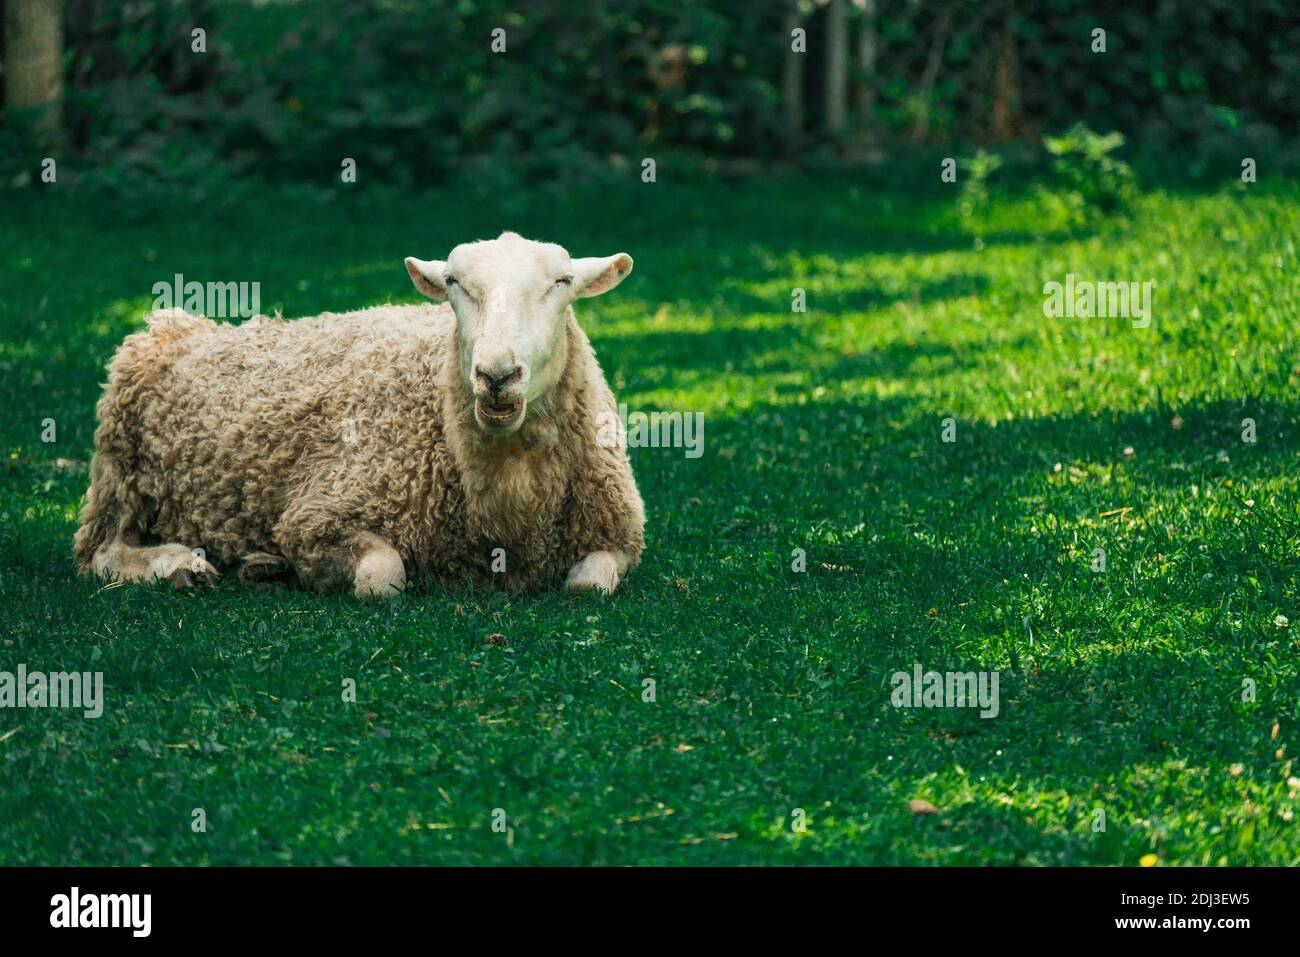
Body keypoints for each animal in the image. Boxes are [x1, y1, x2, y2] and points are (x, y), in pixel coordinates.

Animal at [73, 232, 646, 598]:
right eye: (454, 283)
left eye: (562, 282)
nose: (497, 375)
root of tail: (172, 327)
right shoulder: (318, 515)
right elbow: (382, 580)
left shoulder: (619, 535)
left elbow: (588, 586)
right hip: (123, 478)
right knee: (101, 553)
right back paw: (179, 566)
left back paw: (261, 565)